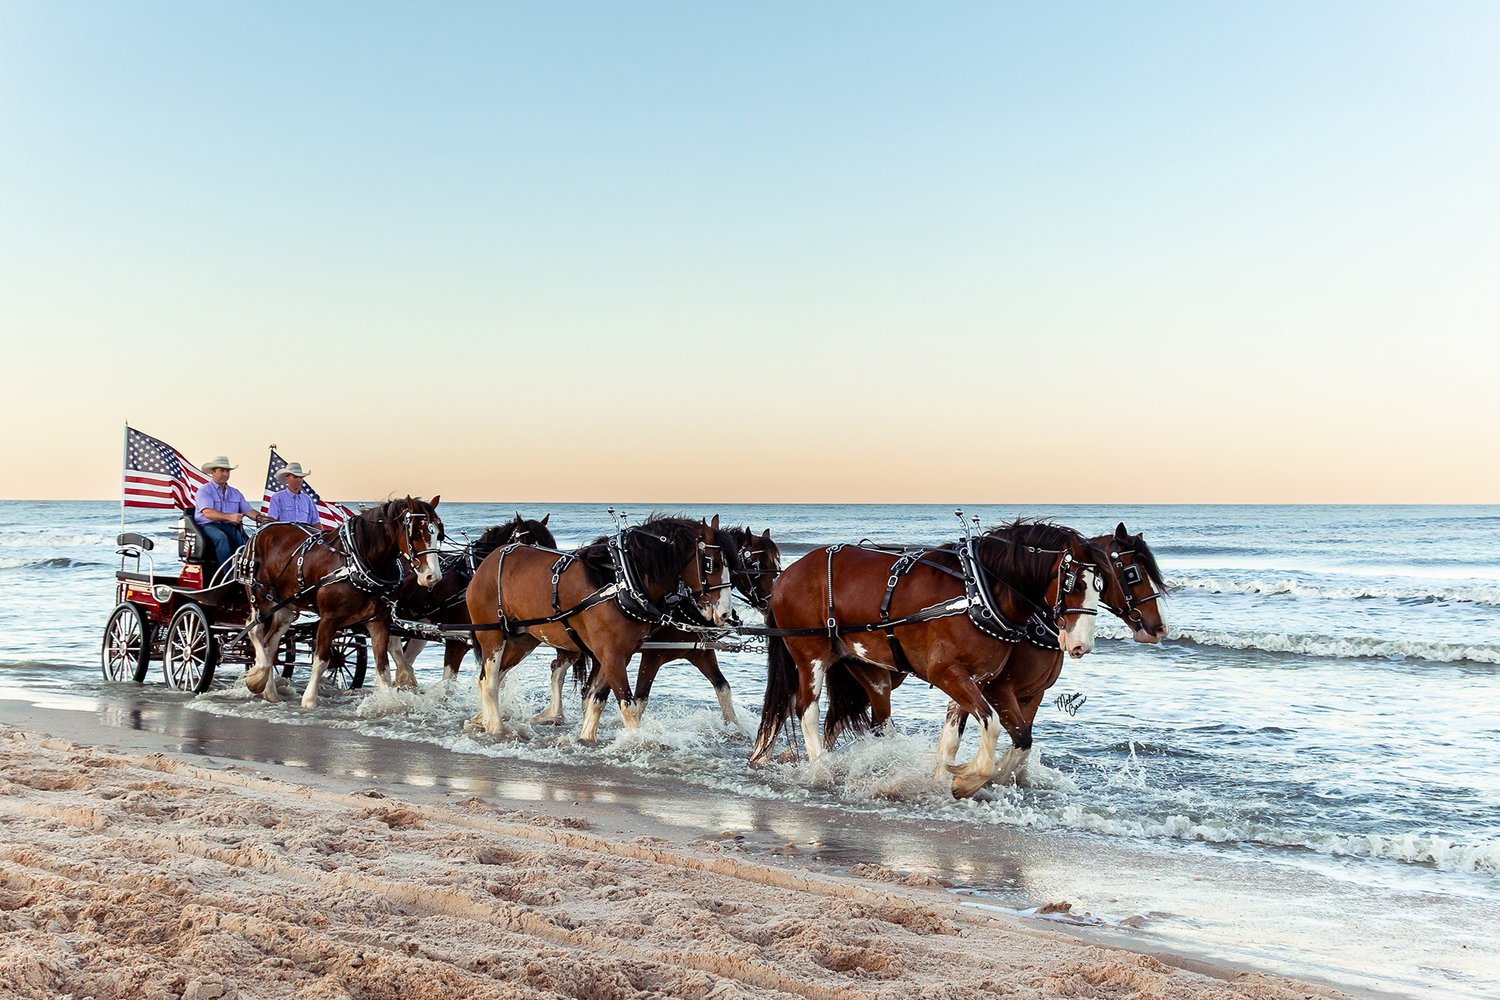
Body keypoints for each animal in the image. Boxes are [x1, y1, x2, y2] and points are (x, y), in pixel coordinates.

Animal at [241, 497, 444, 708]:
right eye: (416, 531)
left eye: (439, 532)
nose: (433, 576)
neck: (358, 562)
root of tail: (261, 530)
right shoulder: (329, 619)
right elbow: (321, 660)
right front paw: (309, 700)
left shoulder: (379, 621)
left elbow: (383, 666)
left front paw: (387, 700)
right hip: (261, 598)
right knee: (254, 631)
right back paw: (258, 675)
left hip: (285, 608)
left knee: (270, 643)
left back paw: (270, 691)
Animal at [465, 514, 738, 741]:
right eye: (712, 564)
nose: (726, 613)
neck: (621, 581)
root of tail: (489, 561)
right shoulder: (616, 654)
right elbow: (628, 705)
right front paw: (639, 742)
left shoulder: (620, 654)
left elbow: (597, 698)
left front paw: (587, 737)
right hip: (492, 635)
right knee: (489, 681)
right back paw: (497, 728)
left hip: (524, 639)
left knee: (493, 676)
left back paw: (482, 719)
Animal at [532, 525, 782, 726]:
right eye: (756, 565)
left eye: (777, 565)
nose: (773, 603)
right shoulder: (653, 655)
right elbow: (640, 699)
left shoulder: (699, 652)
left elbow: (723, 688)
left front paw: (736, 727)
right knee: (559, 670)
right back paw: (554, 714)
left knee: (579, 684)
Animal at [748, 520, 1106, 799]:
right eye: (1074, 583)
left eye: (1101, 586)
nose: (1081, 645)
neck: (978, 592)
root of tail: (786, 576)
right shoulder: (948, 673)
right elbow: (991, 725)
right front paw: (967, 780)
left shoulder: (975, 679)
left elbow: (964, 738)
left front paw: (949, 776)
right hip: (811, 656)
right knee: (806, 711)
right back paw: (821, 770)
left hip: (868, 668)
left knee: (878, 721)